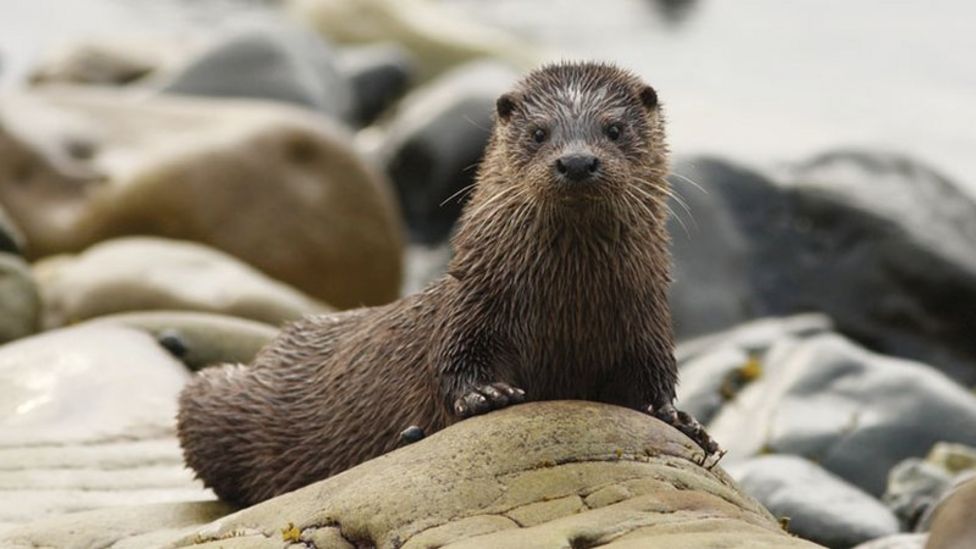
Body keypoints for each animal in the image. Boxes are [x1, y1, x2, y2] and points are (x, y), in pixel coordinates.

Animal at [177, 61, 720, 507]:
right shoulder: (472, 307)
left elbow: (650, 385)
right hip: (218, 401)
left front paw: (683, 421)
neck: (568, 307)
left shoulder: (648, 324)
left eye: (614, 128)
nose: (577, 161)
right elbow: (455, 364)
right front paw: (487, 396)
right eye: (539, 132)